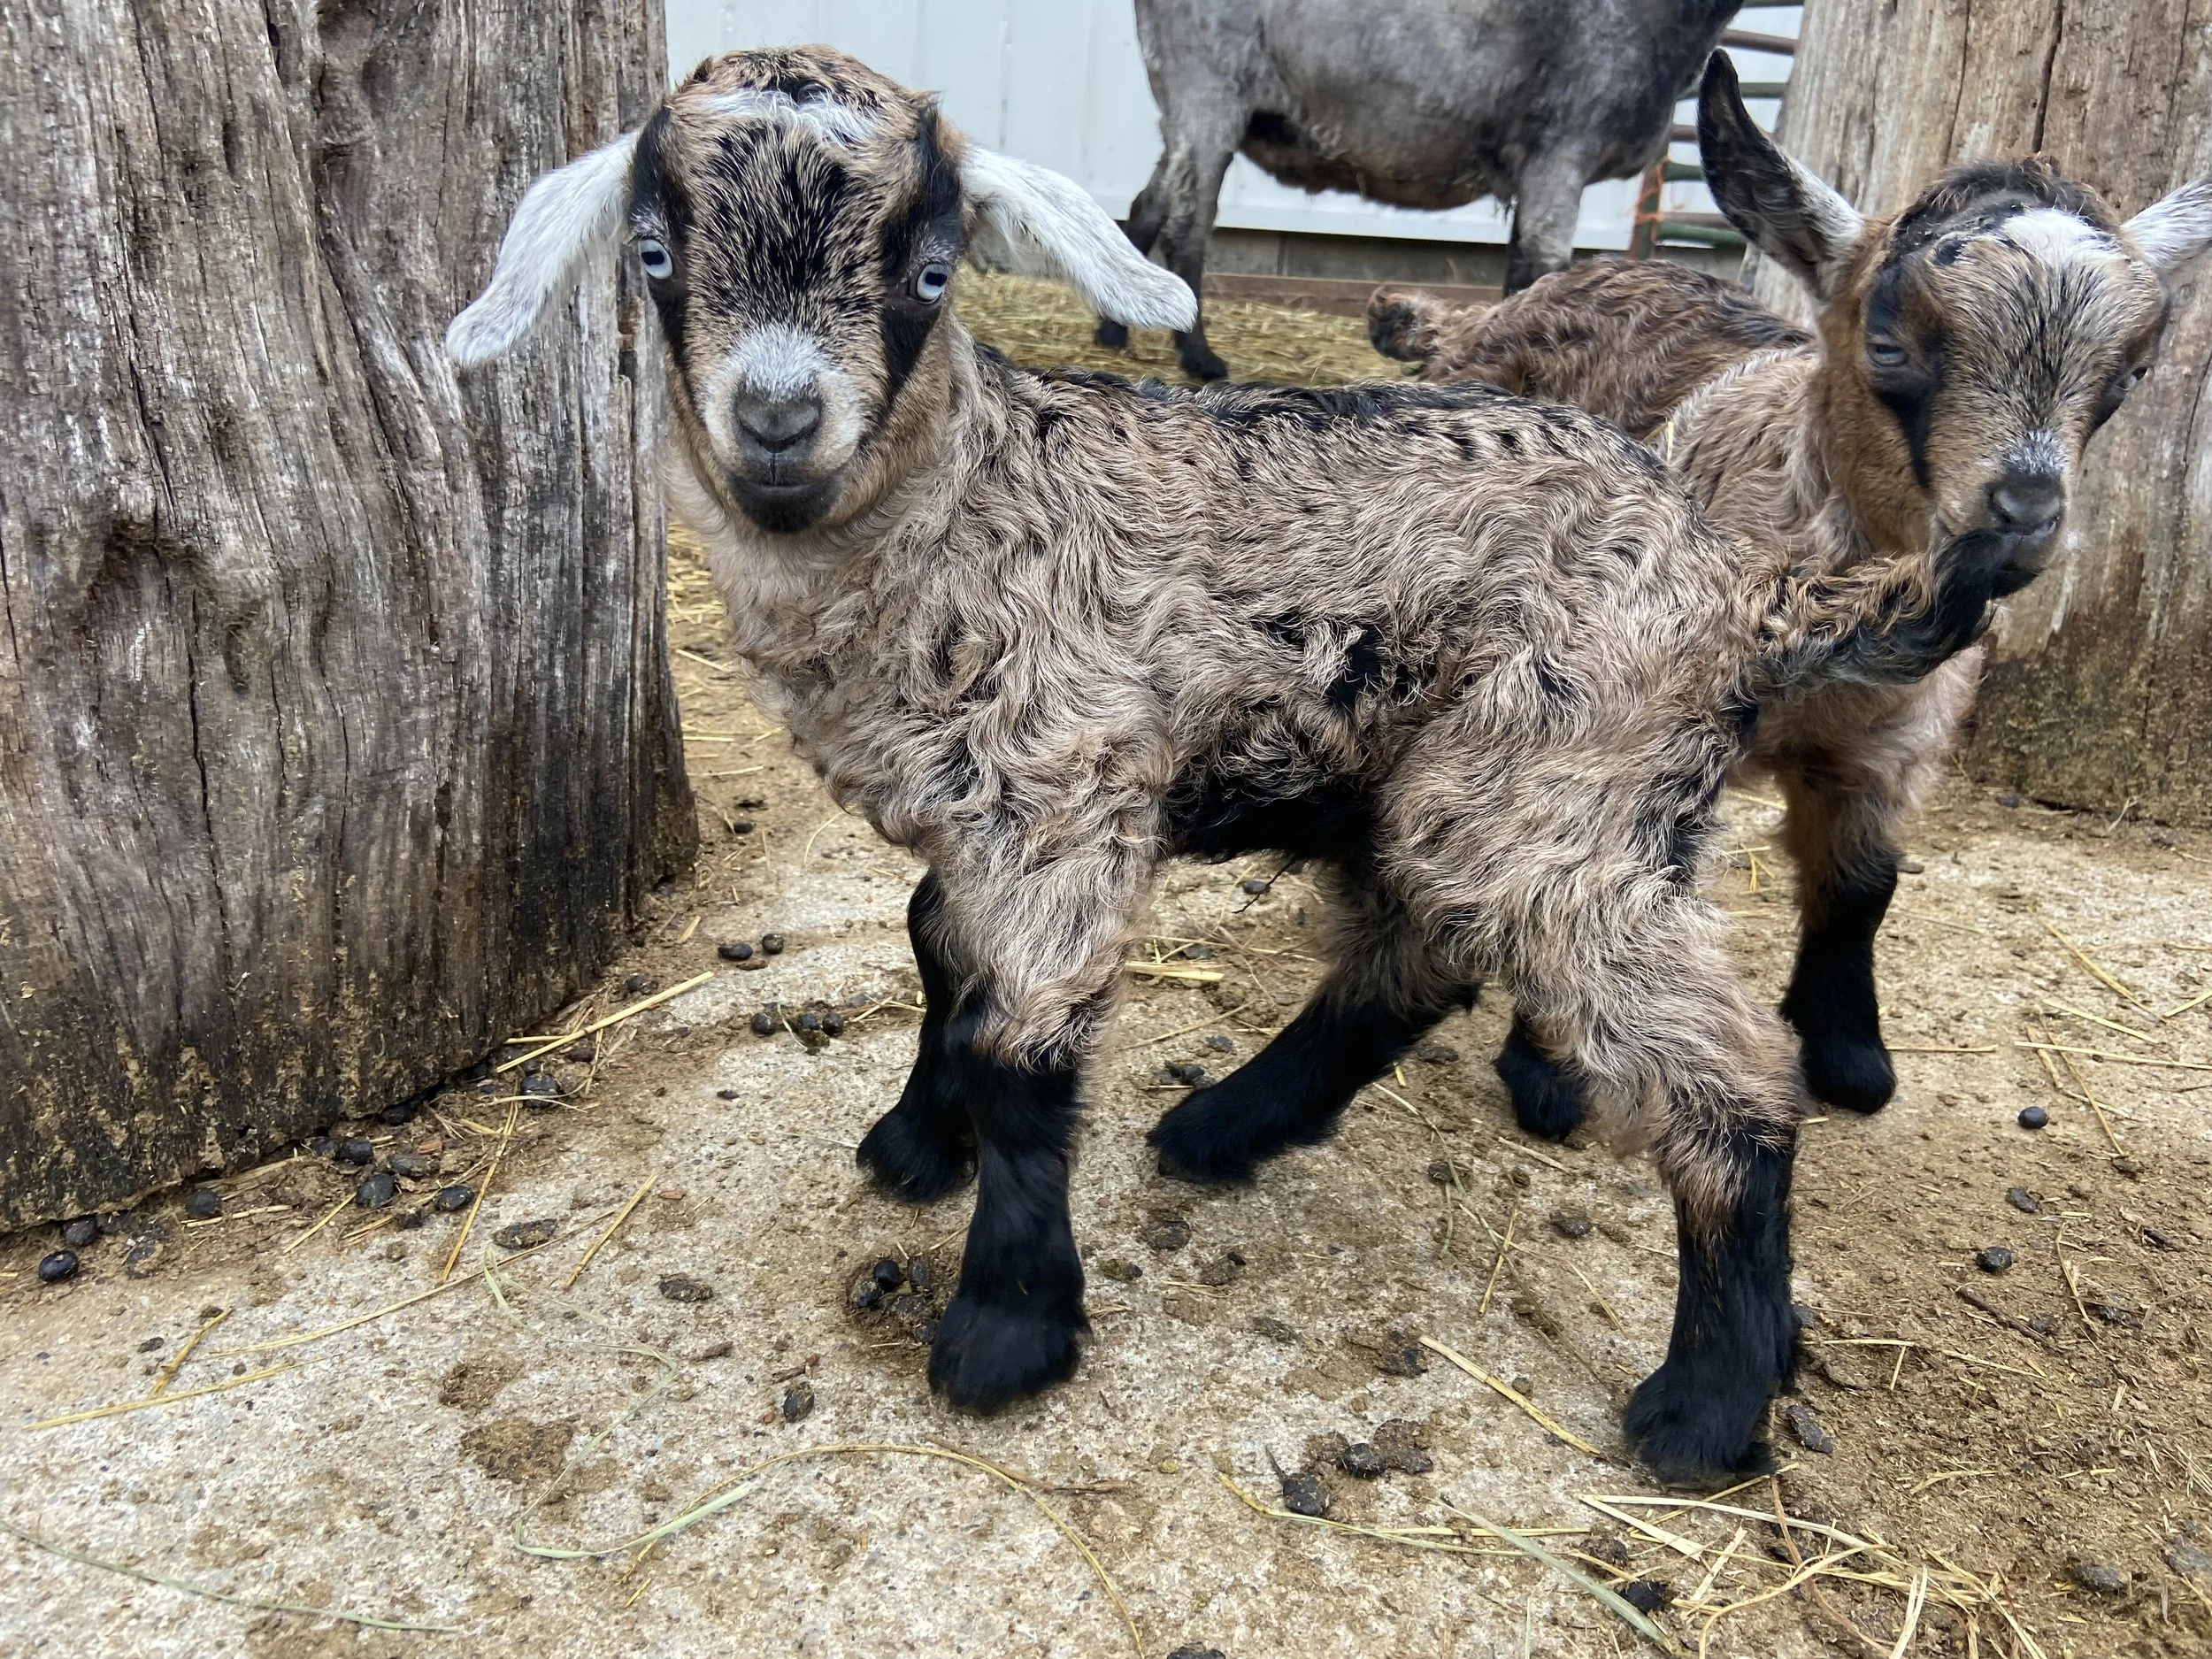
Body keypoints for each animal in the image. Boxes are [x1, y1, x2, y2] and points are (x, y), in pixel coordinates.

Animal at [448, 46, 2026, 1478]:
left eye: (932, 273)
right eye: (655, 251)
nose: (777, 418)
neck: (963, 505)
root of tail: (1740, 585)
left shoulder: (1067, 780)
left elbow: (1018, 1044)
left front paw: (1007, 1327)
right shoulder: (976, 807)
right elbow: (938, 953)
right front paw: (914, 1141)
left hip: (1554, 776)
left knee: (1723, 1068)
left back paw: (1706, 1403)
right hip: (1482, 778)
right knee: (1416, 958)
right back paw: (1228, 1125)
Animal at [1098, 0, 1746, 379]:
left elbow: (1521, 277)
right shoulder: (1564, 148)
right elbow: (1540, 273)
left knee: (1150, 203)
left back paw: (1112, 329)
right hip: (1208, 85)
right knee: (1189, 219)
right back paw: (1199, 357)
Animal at [1369, 54, 2212, 1144]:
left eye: (2132, 372)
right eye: (1888, 346)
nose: (2025, 515)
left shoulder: (1894, 745)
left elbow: (1863, 885)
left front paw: (1851, 1054)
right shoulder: (1630, 706)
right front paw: (1548, 1070)